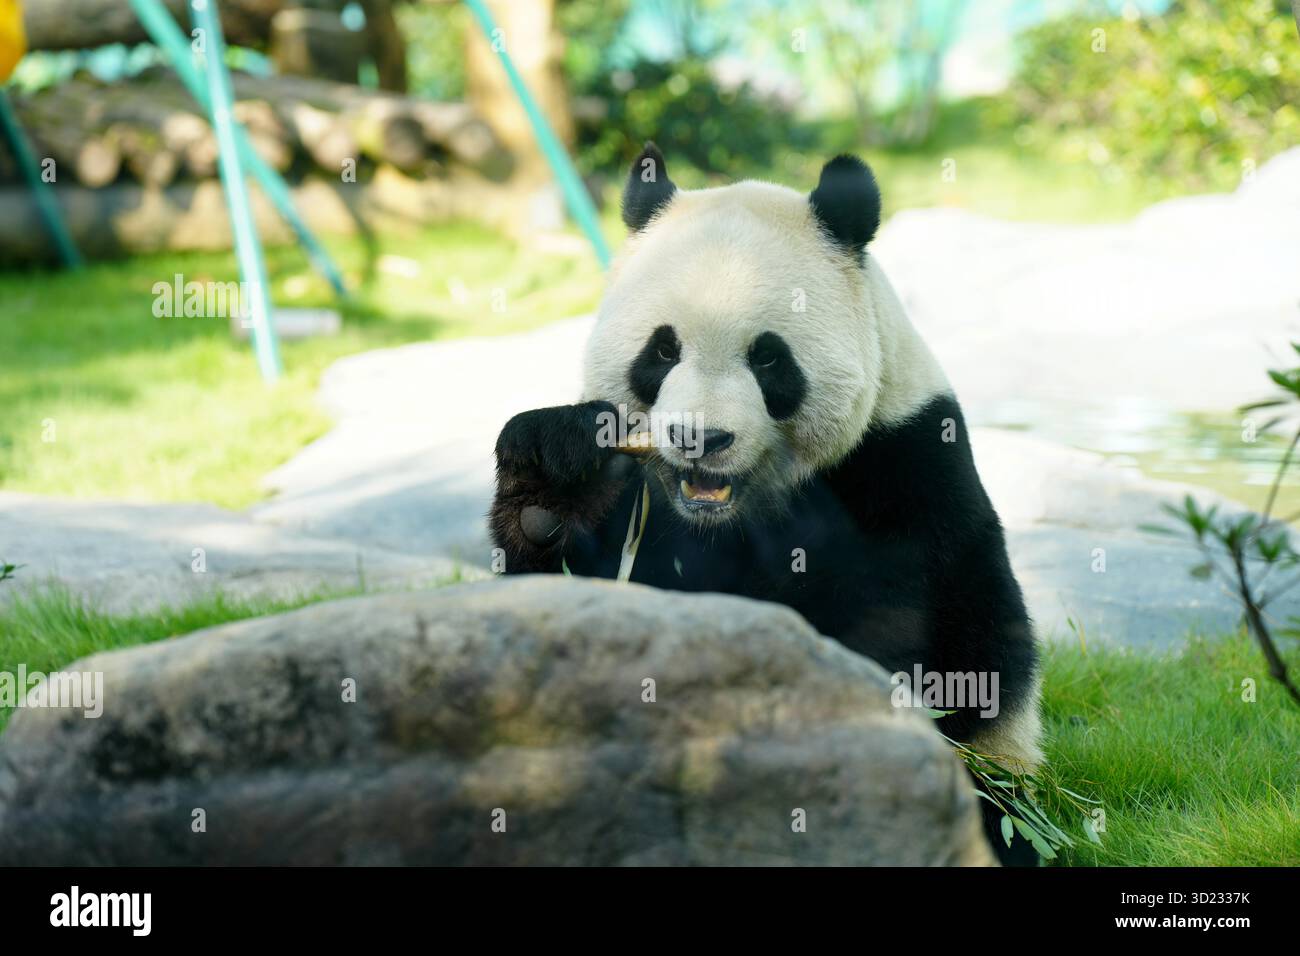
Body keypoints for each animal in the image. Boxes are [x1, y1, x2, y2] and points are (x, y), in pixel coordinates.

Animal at [490, 143, 1043, 865]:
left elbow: (909, 641)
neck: (731, 512)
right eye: (662, 349)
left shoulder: (906, 465)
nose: (700, 438)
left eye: (769, 359)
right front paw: (552, 484)